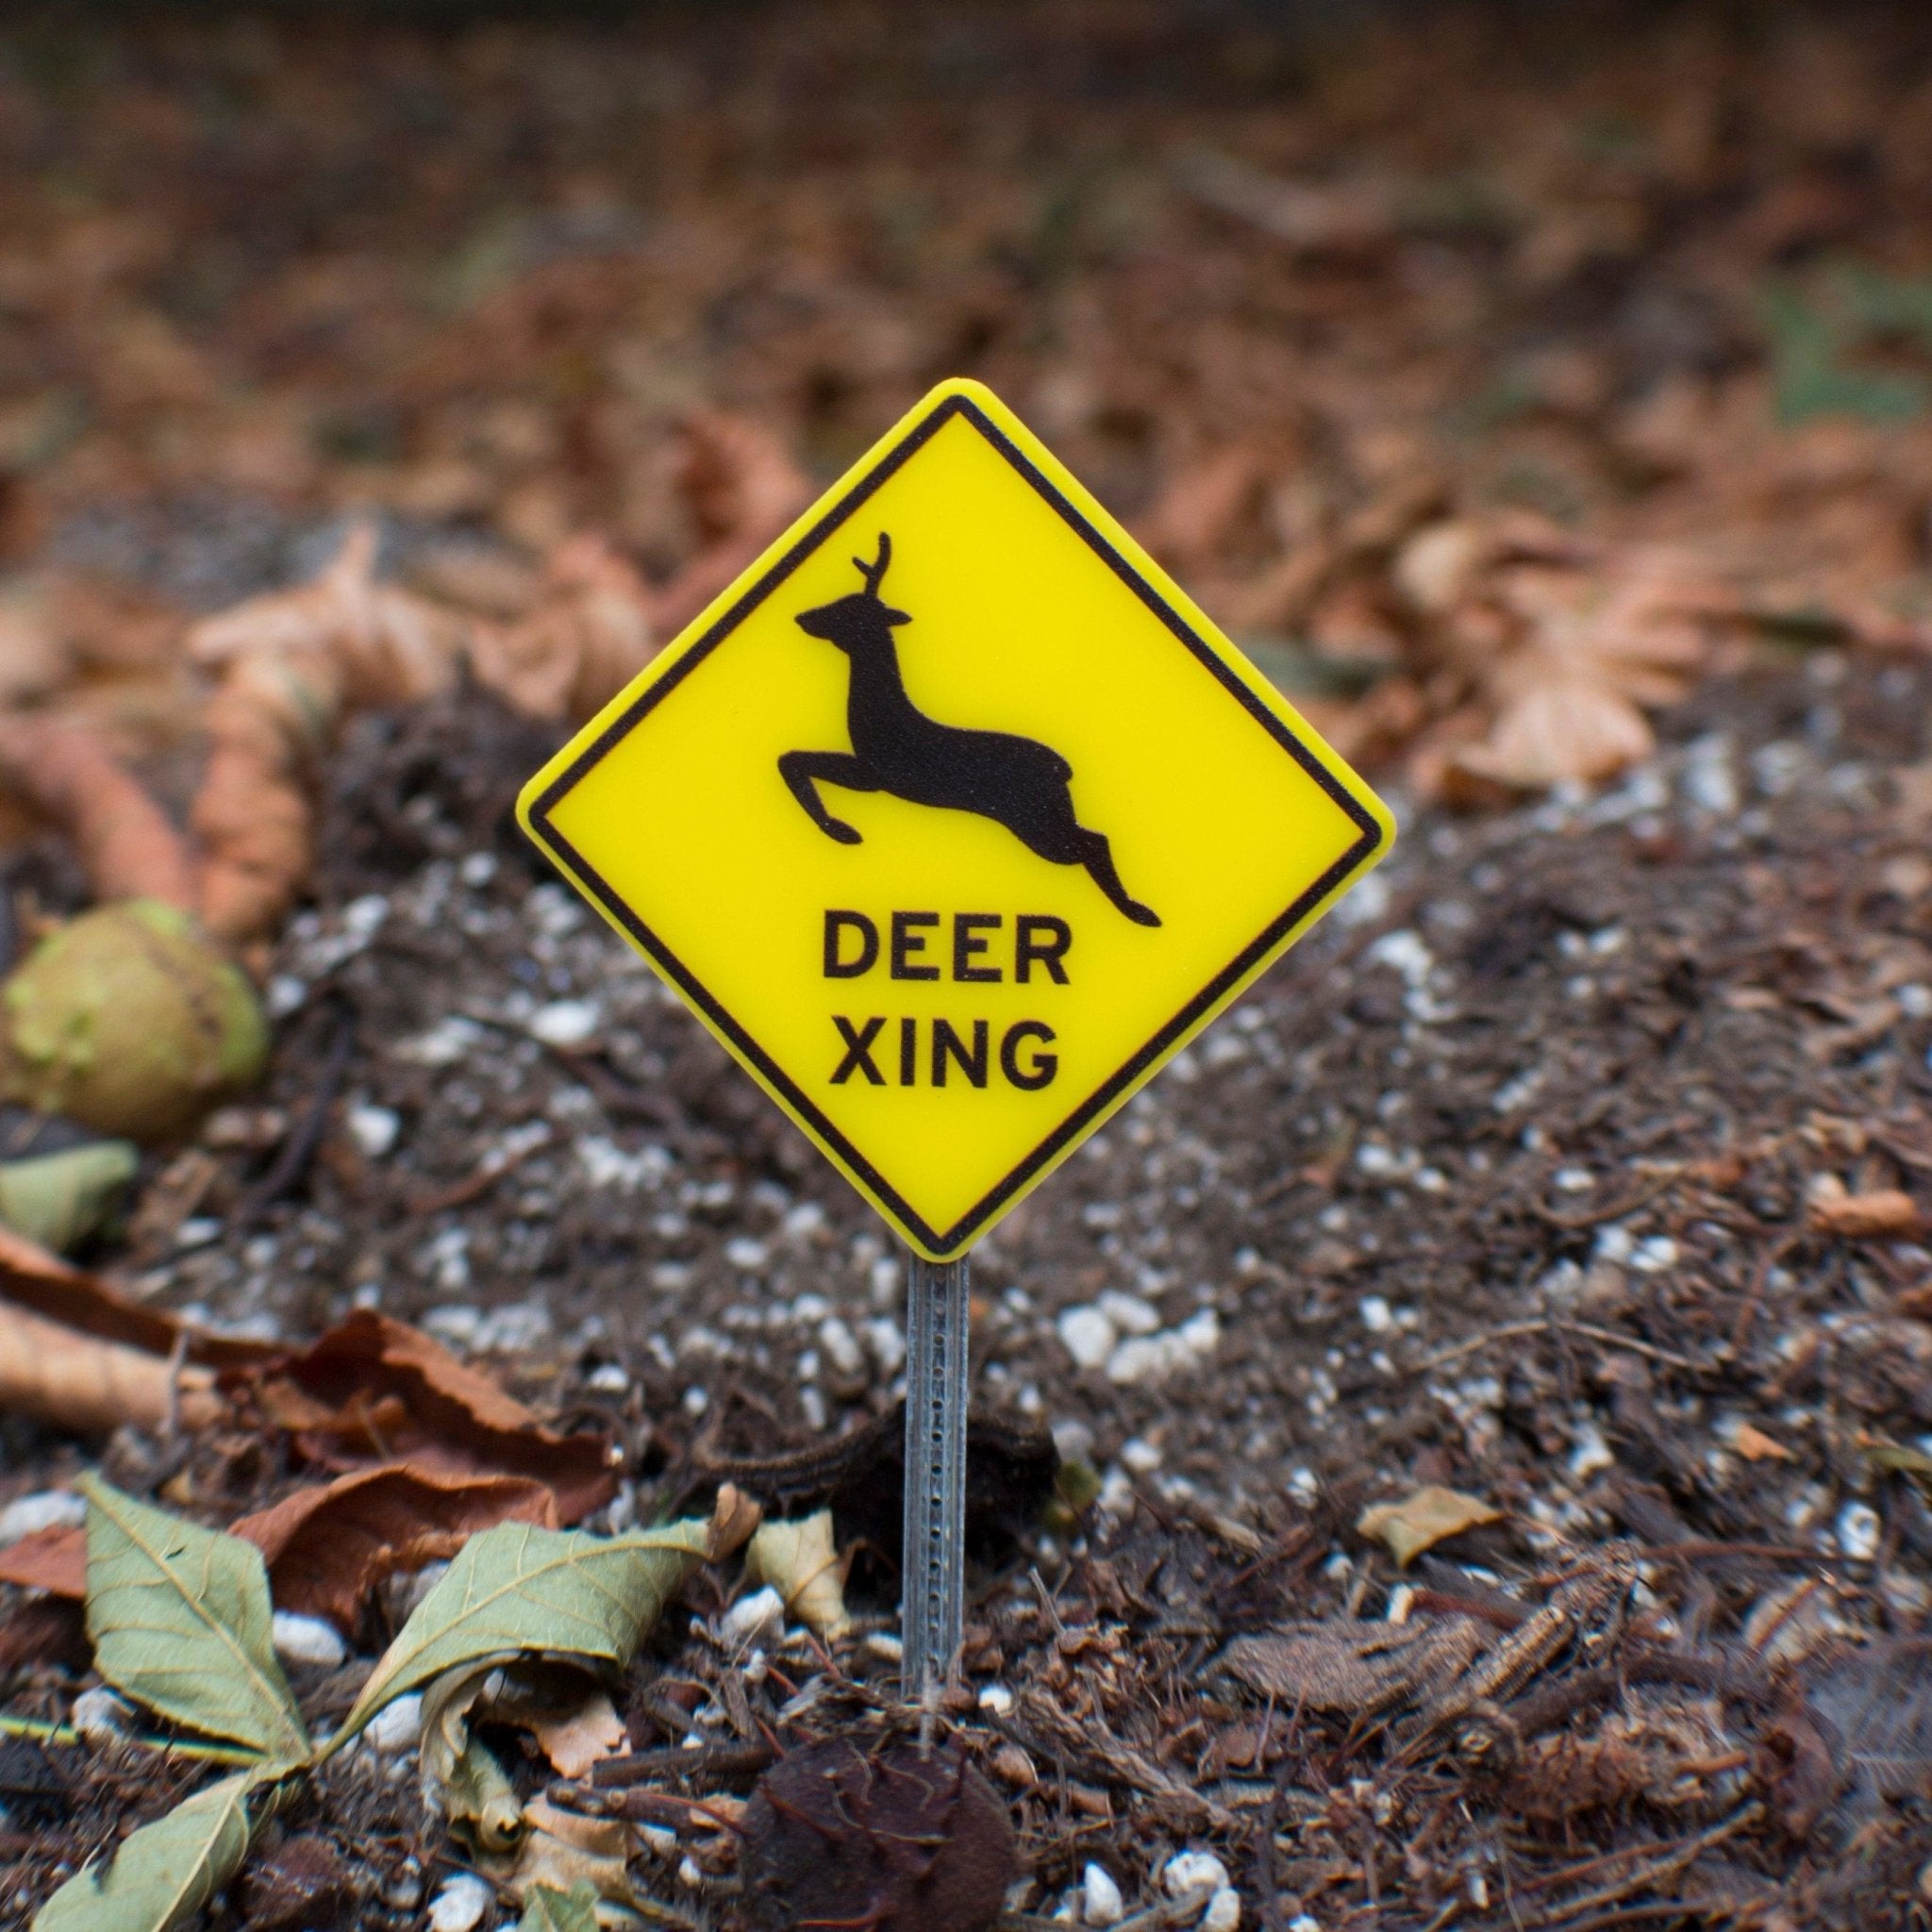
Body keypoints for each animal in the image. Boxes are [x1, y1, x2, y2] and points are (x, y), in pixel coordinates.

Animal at [779, 533, 1160, 926]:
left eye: (850, 610)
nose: (803, 617)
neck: (882, 714)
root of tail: (1062, 769)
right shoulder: (873, 775)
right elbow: (791, 760)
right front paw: (841, 829)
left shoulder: (875, 774)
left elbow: (793, 762)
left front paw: (841, 831)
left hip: (1037, 821)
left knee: (1093, 842)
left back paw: (1140, 913)